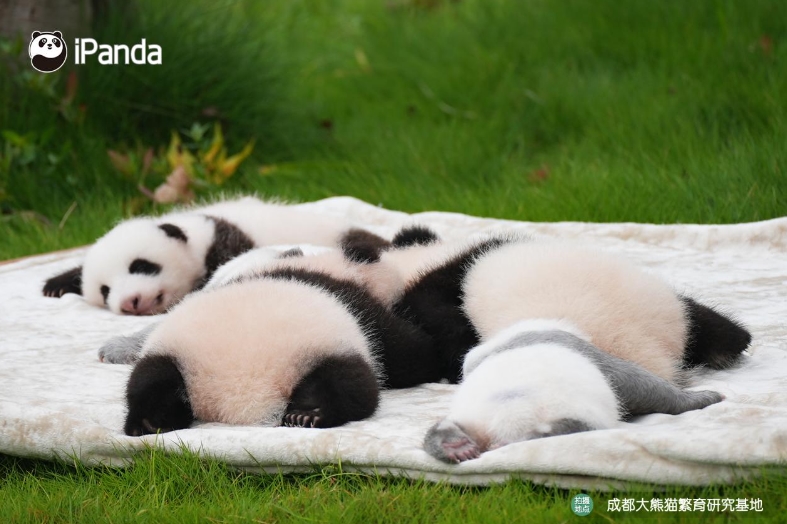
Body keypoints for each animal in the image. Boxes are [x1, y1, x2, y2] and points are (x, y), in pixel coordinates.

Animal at [122, 242, 443, 435]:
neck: (323, 265)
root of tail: (241, 396)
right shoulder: (360, 307)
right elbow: (411, 353)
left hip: (172, 355)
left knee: (150, 381)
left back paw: (147, 422)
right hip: (325, 347)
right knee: (350, 382)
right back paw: (310, 414)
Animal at [424, 319, 725, 463]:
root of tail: (506, 423)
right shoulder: (593, 355)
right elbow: (646, 386)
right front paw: (704, 397)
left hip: (473, 418)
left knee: (441, 428)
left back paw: (454, 444)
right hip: (578, 415)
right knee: (572, 428)